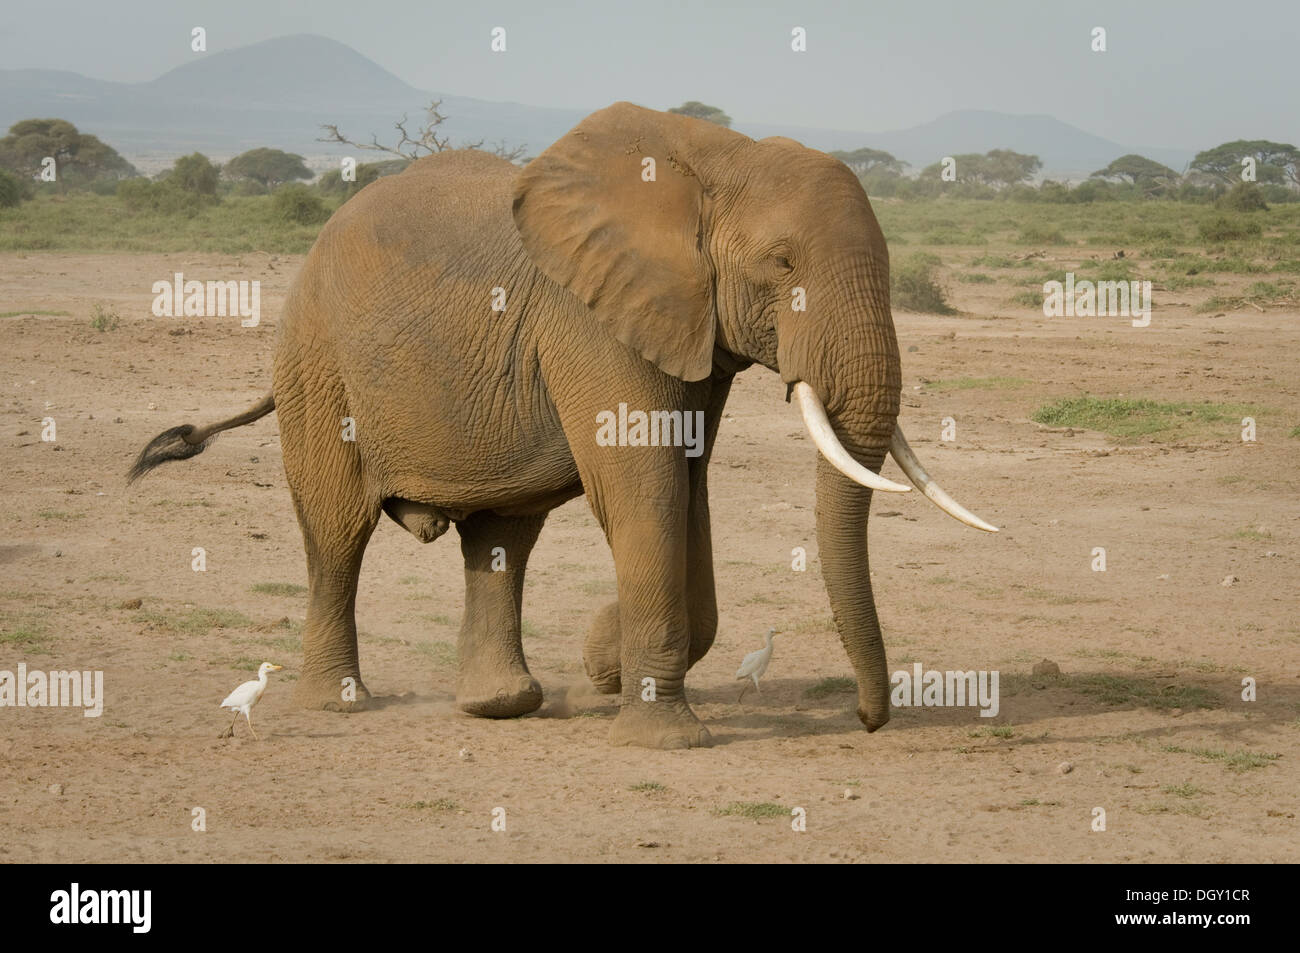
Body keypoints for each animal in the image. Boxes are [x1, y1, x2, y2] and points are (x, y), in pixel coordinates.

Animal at [129, 102, 997, 749]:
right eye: (782, 264)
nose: (867, 719)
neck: (719, 162)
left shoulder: (690, 327)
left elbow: (687, 487)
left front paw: (602, 666)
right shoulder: (593, 321)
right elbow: (645, 488)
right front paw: (657, 729)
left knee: (500, 538)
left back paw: (500, 705)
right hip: (316, 358)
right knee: (336, 531)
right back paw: (339, 702)